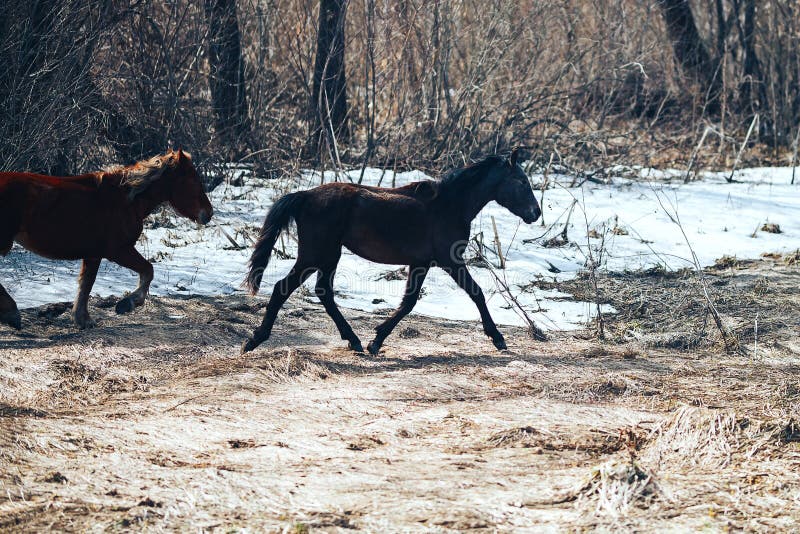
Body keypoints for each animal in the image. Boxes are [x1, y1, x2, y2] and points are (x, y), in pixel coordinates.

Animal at [0, 149, 213, 331]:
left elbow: (86, 285)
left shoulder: (93, 255)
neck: (126, 199)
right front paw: (127, 303)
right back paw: (12, 314)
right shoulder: (119, 251)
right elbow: (148, 270)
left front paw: (82, 319)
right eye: (193, 180)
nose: (209, 214)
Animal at [242, 149, 541, 355]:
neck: (449, 205)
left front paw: (376, 340)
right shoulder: (450, 259)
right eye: (521, 181)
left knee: (323, 293)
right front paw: (498, 338)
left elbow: (408, 302)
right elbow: (476, 292)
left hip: (329, 256)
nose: (536, 214)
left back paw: (354, 341)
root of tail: (304, 195)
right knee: (283, 288)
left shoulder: (421, 263)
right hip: (316, 255)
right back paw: (254, 340)